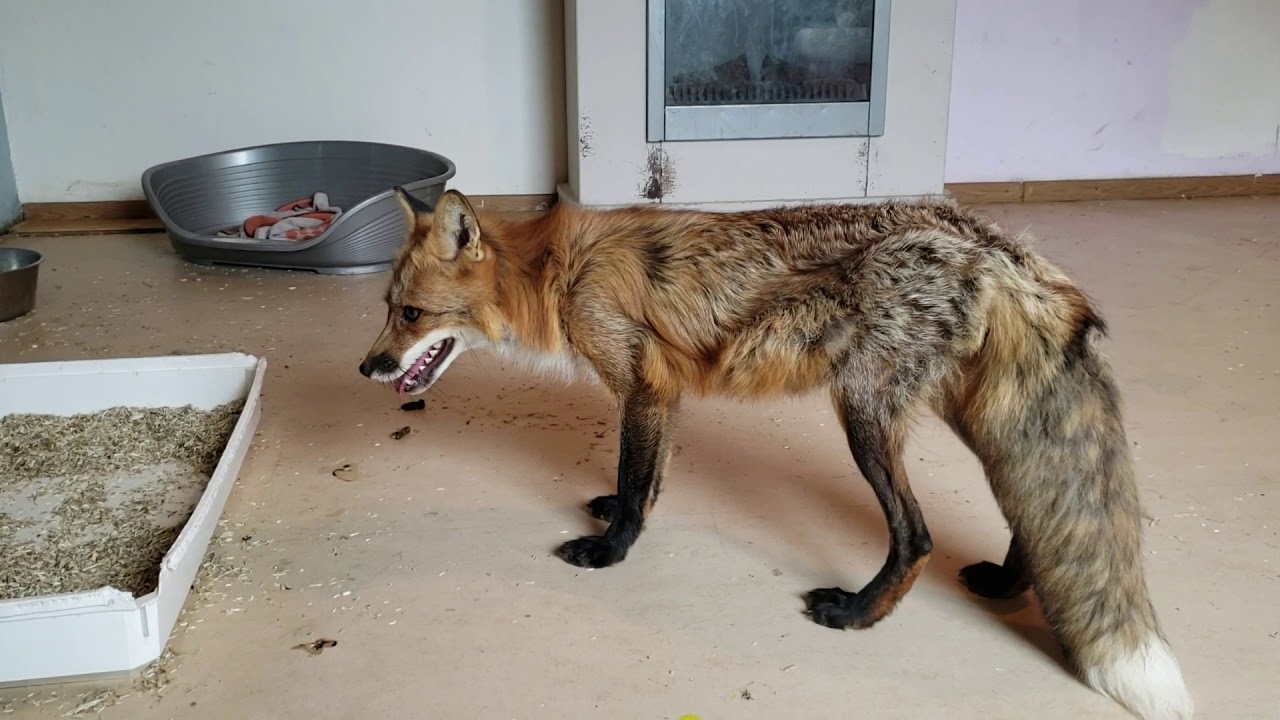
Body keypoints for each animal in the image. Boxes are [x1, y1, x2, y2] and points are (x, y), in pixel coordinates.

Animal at [359, 186, 1194, 719]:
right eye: (386, 310)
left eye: (412, 314)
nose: (367, 369)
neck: (559, 275)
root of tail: (998, 245)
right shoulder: (664, 395)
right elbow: (647, 481)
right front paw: (617, 515)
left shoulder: (643, 384)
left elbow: (634, 481)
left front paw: (609, 552)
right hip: (973, 410)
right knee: (1031, 504)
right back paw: (1009, 581)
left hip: (863, 415)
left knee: (917, 536)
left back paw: (856, 614)